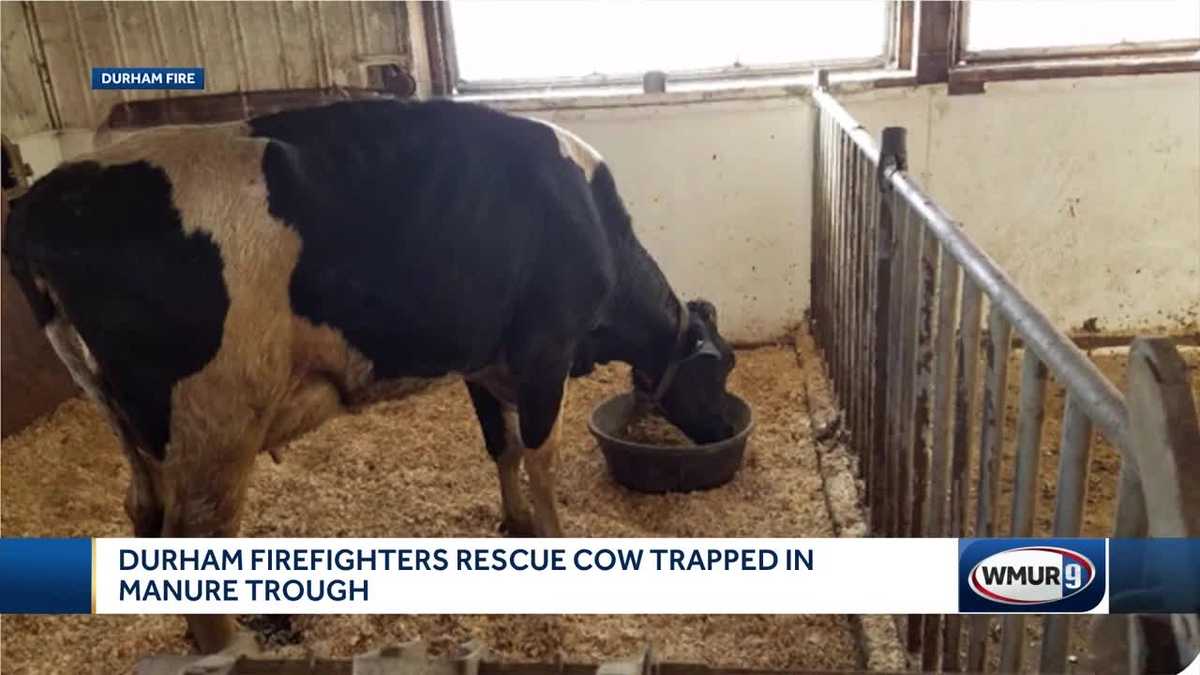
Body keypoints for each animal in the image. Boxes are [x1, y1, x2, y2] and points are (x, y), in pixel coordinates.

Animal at [2, 99, 737, 654]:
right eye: (720, 371)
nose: (723, 431)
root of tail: (41, 200)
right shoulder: (544, 352)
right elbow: (541, 455)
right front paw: (552, 539)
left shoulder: (484, 360)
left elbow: (499, 446)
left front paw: (517, 521)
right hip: (214, 420)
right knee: (194, 538)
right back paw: (231, 647)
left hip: (126, 418)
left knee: (144, 513)